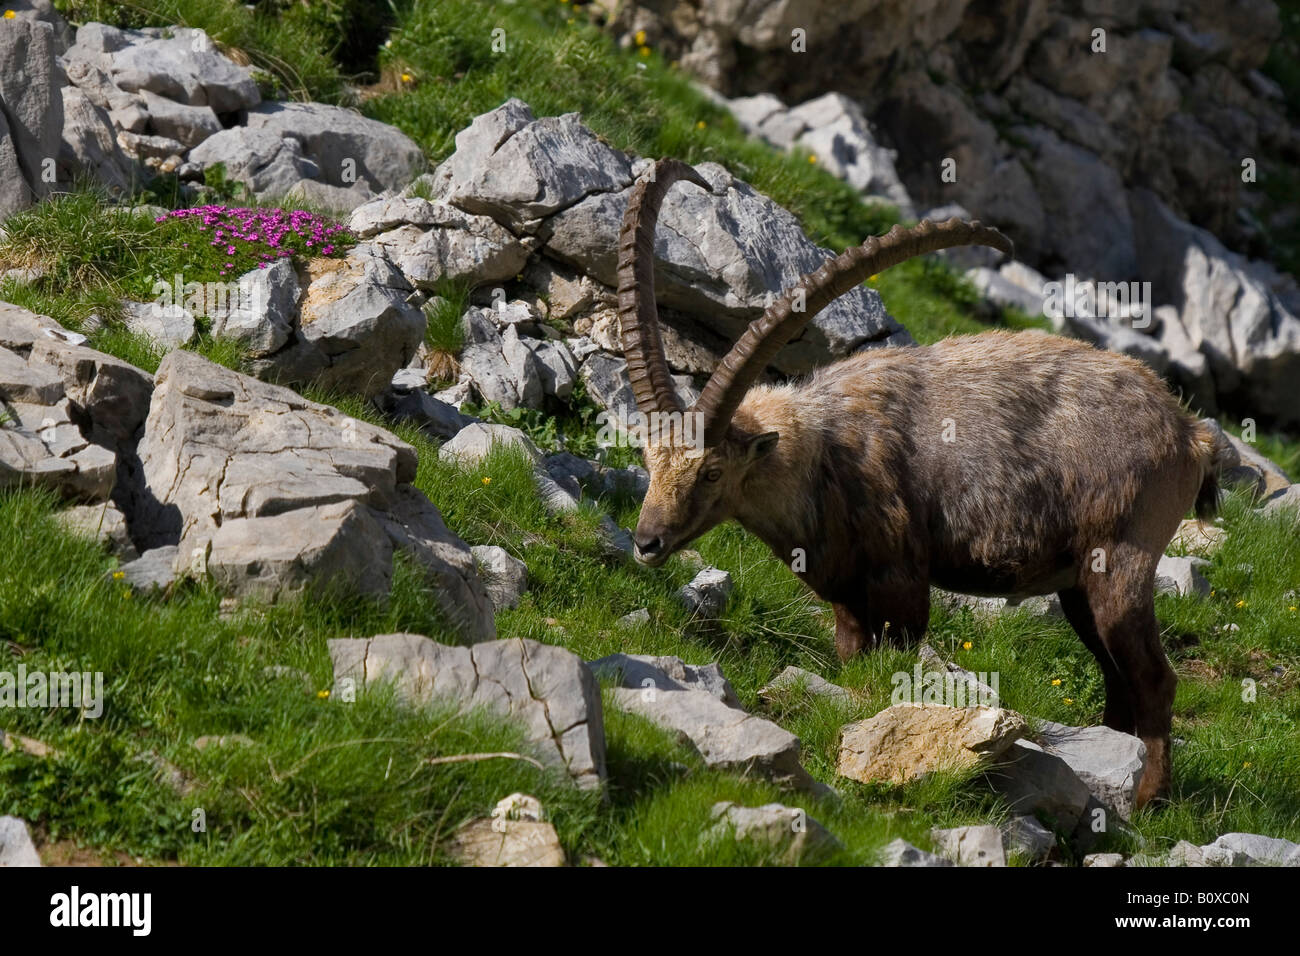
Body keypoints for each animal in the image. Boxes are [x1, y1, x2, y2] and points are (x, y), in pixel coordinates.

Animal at [618, 159, 1221, 808]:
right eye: (649, 458)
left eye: (711, 470)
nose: (647, 542)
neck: (823, 457)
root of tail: (1189, 433)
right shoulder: (848, 600)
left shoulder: (902, 583)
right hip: (1079, 586)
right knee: (1117, 680)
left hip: (1122, 564)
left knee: (1155, 680)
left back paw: (1147, 800)